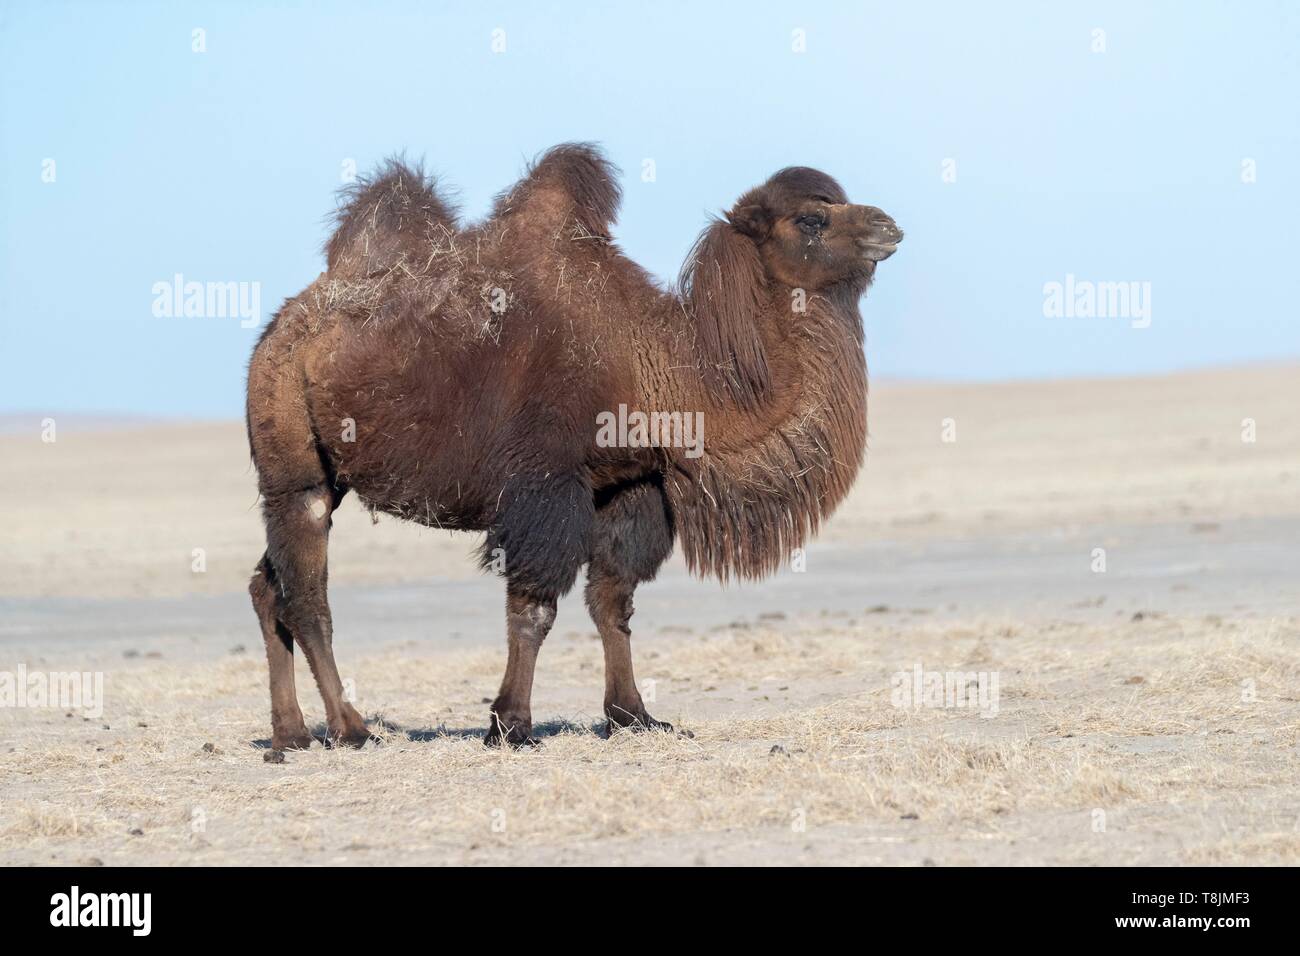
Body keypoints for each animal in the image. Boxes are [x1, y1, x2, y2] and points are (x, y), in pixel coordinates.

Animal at [246, 144, 902, 749]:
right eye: (812, 219)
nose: (887, 226)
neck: (651, 365)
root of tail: (280, 330)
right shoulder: (546, 487)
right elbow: (534, 607)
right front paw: (511, 724)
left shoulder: (629, 487)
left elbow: (613, 602)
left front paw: (634, 716)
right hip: (294, 465)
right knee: (305, 594)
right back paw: (350, 728)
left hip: (327, 473)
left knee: (266, 588)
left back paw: (289, 735)